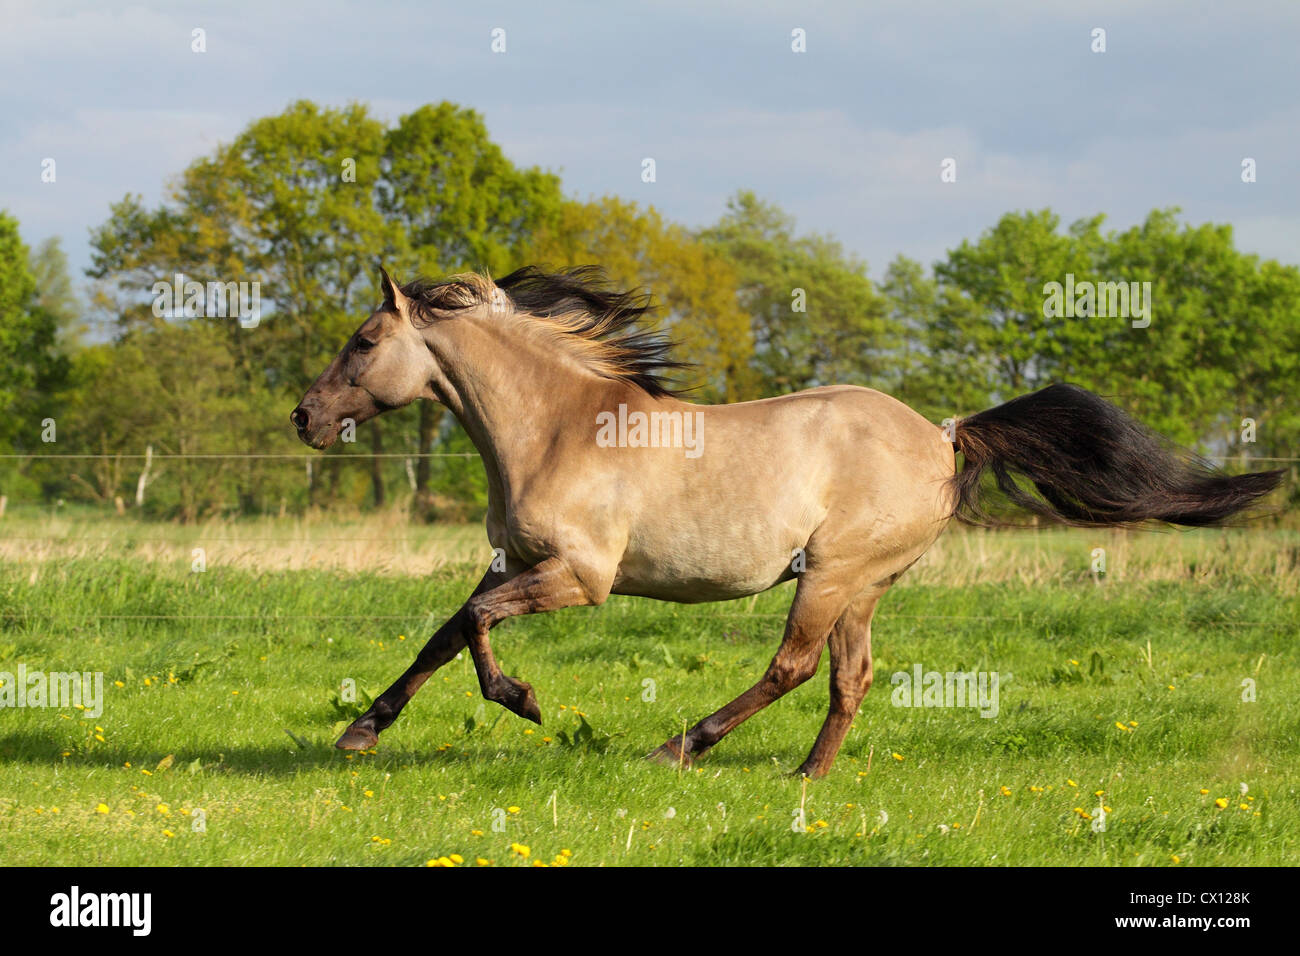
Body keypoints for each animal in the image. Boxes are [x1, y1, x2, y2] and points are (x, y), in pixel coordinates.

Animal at [290, 265, 1282, 778]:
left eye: (364, 342)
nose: (305, 417)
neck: (560, 426)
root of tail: (944, 432)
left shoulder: (581, 577)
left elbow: (477, 628)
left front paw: (522, 700)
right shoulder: (512, 560)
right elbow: (446, 630)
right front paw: (361, 731)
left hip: (833, 574)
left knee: (794, 668)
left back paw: (679, 747)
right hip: (862, 586)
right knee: (852, 678)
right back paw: (806, 775)